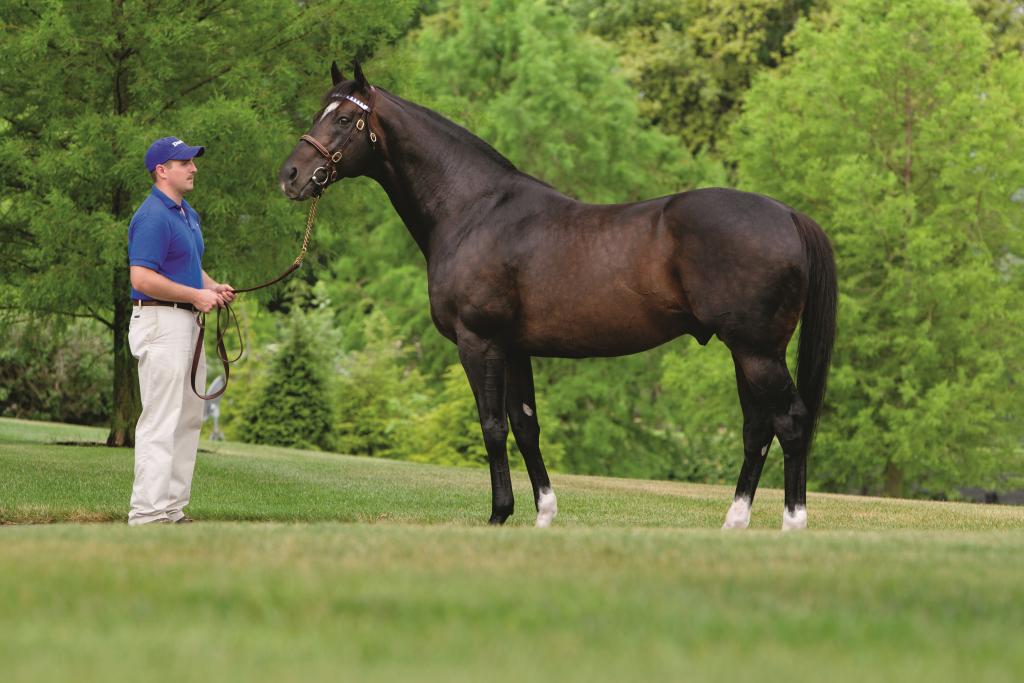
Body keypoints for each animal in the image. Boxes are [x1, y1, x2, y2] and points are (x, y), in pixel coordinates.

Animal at [278, 61, 837, 531]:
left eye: (345, 118)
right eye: (321, 111)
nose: (291, 176)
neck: (475, 210)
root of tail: (788, 215)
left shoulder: (479, 342)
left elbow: (492, 426)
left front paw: (499, 515)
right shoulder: (515, 348)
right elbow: (526, 426)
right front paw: (543, 515)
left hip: (756, 351)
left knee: (789, 422)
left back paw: (793, 524)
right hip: (748, 352)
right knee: (757, 429)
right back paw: (734, 522)